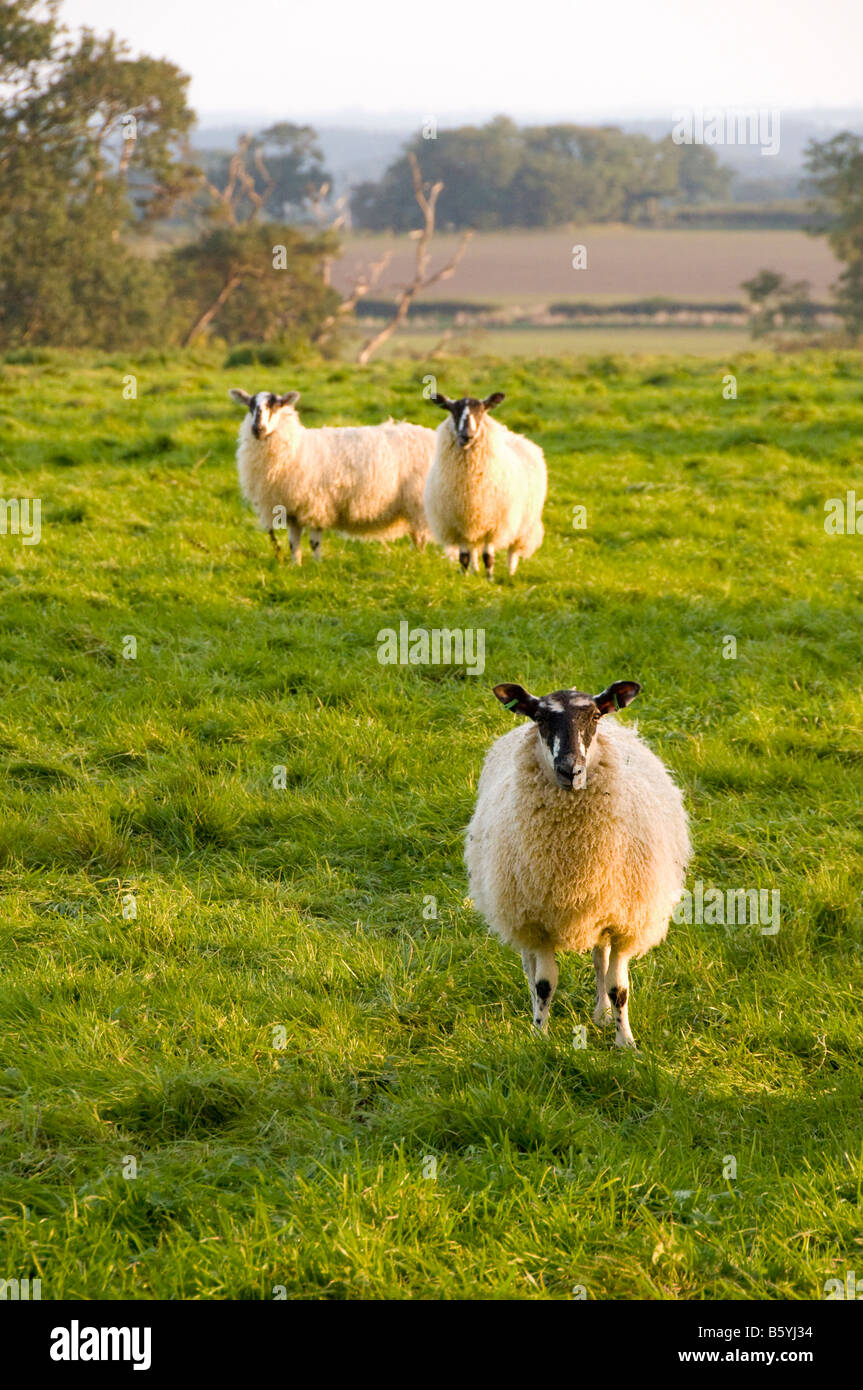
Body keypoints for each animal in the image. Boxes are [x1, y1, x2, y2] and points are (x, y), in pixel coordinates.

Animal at [229, 389, 437, 563]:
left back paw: (418, 560)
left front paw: (317, 566)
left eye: (275, 405)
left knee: (420, 537)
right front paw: (295, 566)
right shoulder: (291, 510)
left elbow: (314, 543)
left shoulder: (315, 504)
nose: (257, 429)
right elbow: (293, 544)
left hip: (417, 501)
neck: (297, 448)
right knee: (417, 535)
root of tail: (431, 437)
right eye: (250, 406)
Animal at [423, 391, 547, 578]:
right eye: (453, 411)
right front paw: (464, 577)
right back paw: (474, 571)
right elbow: (464, 557)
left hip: (524, 524)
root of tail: (513, 434)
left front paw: (490, 579)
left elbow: (489, 557)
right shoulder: (461, 523)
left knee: (513, 550)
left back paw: (511, 573)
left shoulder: (493, 526)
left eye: (481, 412)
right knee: (474, 550)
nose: (467, 435)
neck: (469, 484)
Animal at [464, 679, 691, 1049]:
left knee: (600, 959)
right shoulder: (538, 919)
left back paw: (601, 1015)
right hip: (518, 910)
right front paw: (539, 1035)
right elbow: (544, 984)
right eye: (540, 717)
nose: (569, 770)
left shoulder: (626, 919)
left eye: (595, 716)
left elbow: (618, 987)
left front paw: (625, 1042)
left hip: (603, 906)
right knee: (530, 967)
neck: (574, 856)